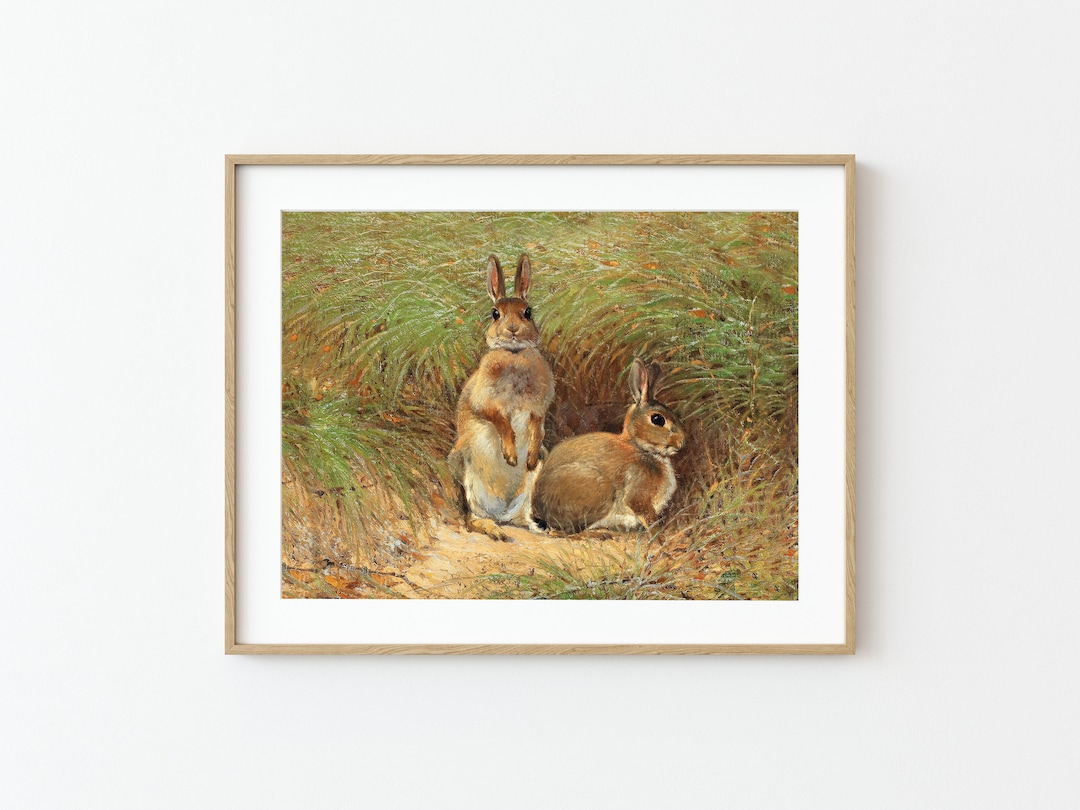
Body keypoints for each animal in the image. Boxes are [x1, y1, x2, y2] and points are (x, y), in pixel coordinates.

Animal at [447, 254, 554, 542]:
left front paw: (526, 458)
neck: (513, 355)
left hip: (530, 484)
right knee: (472, 518)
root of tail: (502, 512)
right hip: (468, 475)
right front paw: (511, 456)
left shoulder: (538, 409)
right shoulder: (484, 402)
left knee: (522, 516)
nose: (513, 329)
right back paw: (494, 530)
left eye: (528, 312)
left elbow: (538, 428)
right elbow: (501, 421)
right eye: (495, 314)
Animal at [533, 358, 685, 533]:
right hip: (601, 490)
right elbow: (645, 513)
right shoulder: (637, 492)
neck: (640, 447)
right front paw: (657, 532)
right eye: (658, 419)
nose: (681, 443)